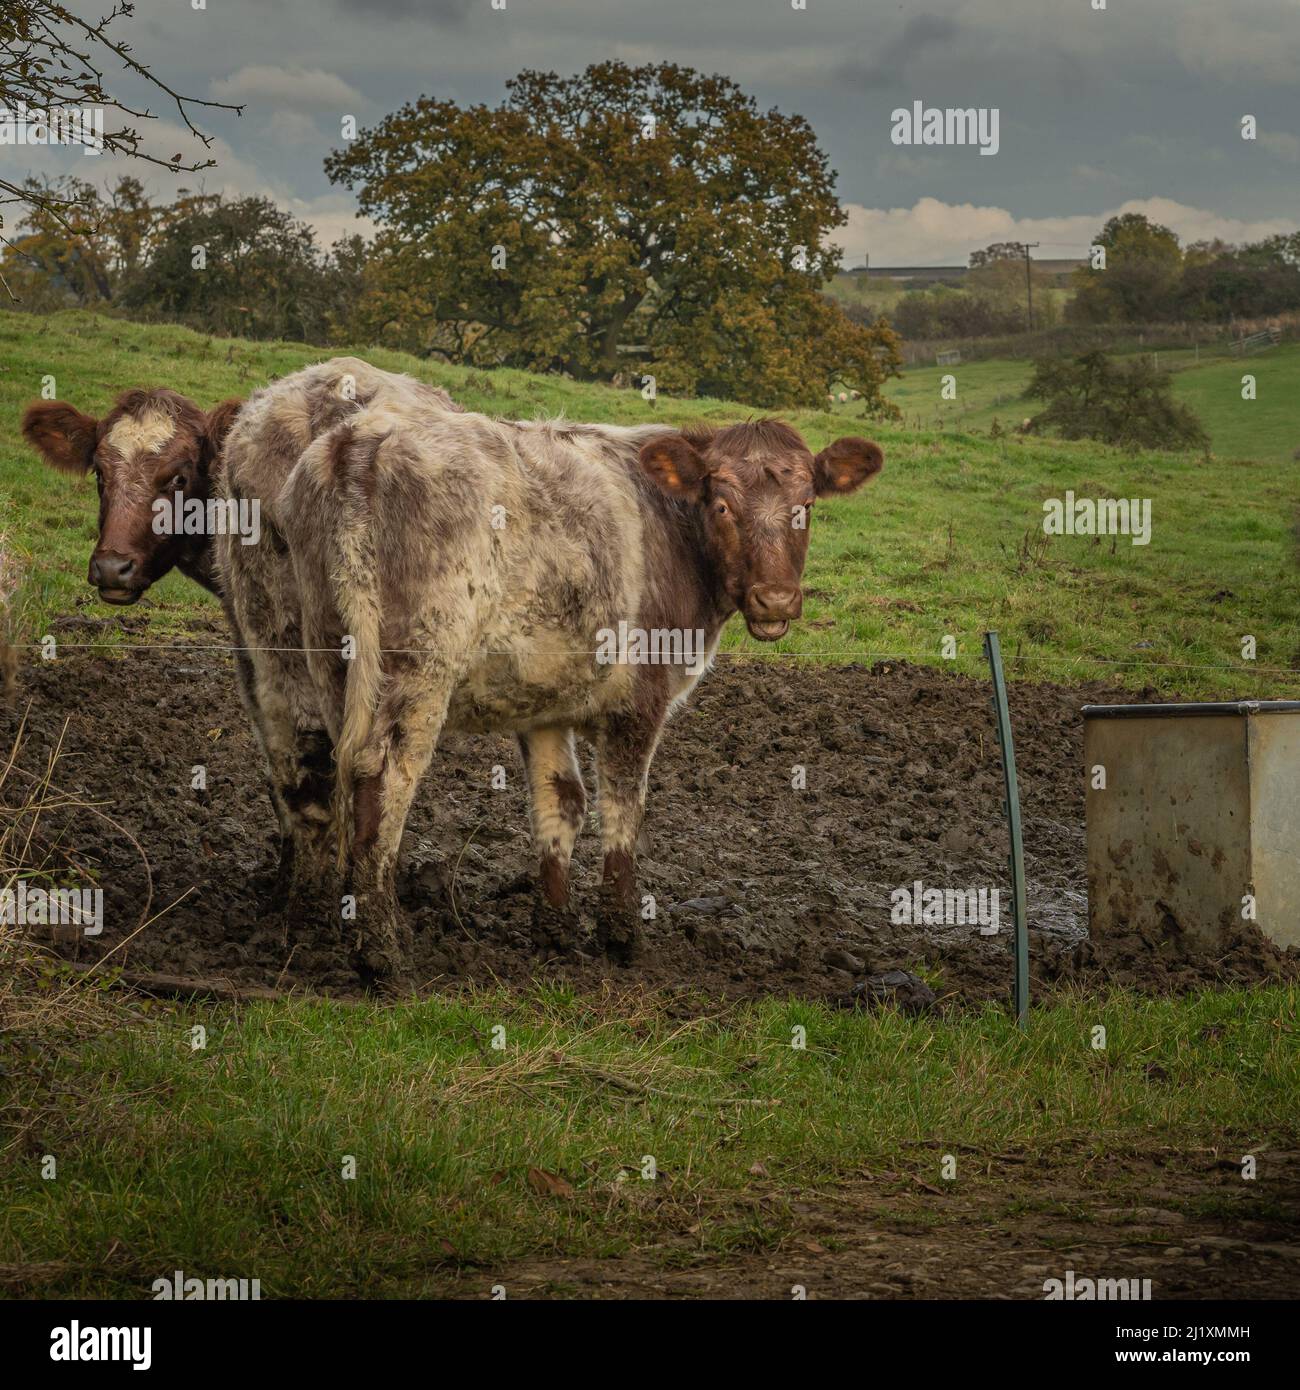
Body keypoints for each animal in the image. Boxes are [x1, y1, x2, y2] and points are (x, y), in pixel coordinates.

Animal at [269, 405, 883, 988]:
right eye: (723, 505)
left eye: (808, 504)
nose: (775, 599)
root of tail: (363, 438)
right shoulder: (640, 699)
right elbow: (623, 808)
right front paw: (622, 936)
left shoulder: (544, 701)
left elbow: (559, 803)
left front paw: (556, 932)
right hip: (419, 666)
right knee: (383, 777)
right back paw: (383, 953)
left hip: (333, 655)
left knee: (337, 769)